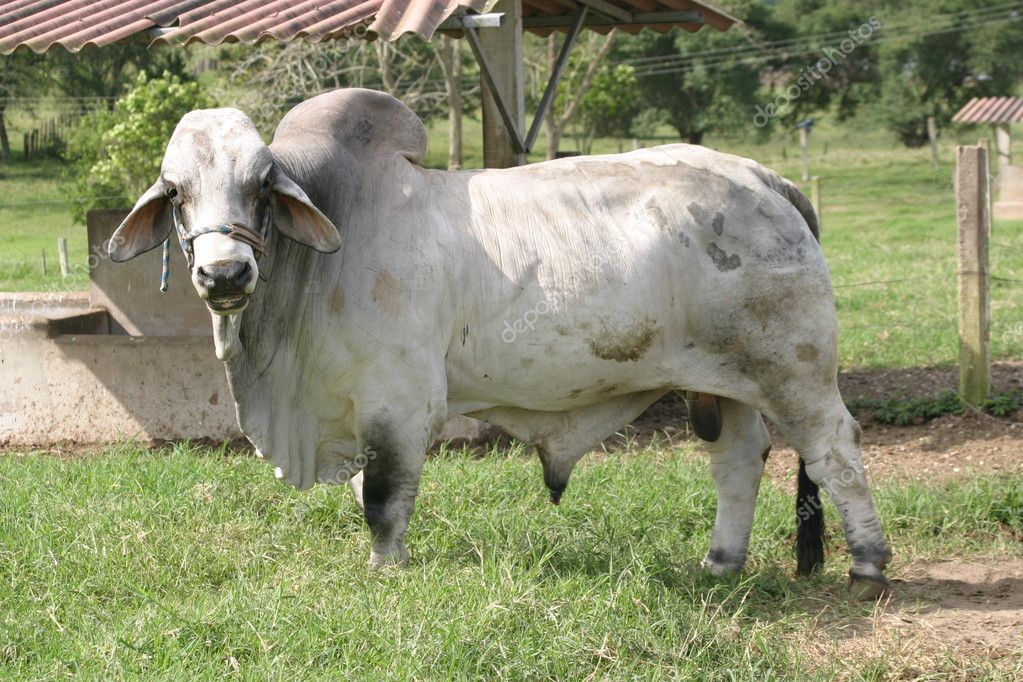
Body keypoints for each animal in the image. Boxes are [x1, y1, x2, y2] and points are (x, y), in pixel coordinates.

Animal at [109, 88, 890, 597]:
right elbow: (367, 490)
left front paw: (385, 572)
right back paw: (720, 563)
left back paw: (868, 566)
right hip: (724, 380)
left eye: (262, 184)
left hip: (795, 372)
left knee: (835, 452)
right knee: (738, 460)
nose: (224, 273)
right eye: (175, 191)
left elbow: (383, 496)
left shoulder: (400, 402)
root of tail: (765, 177)